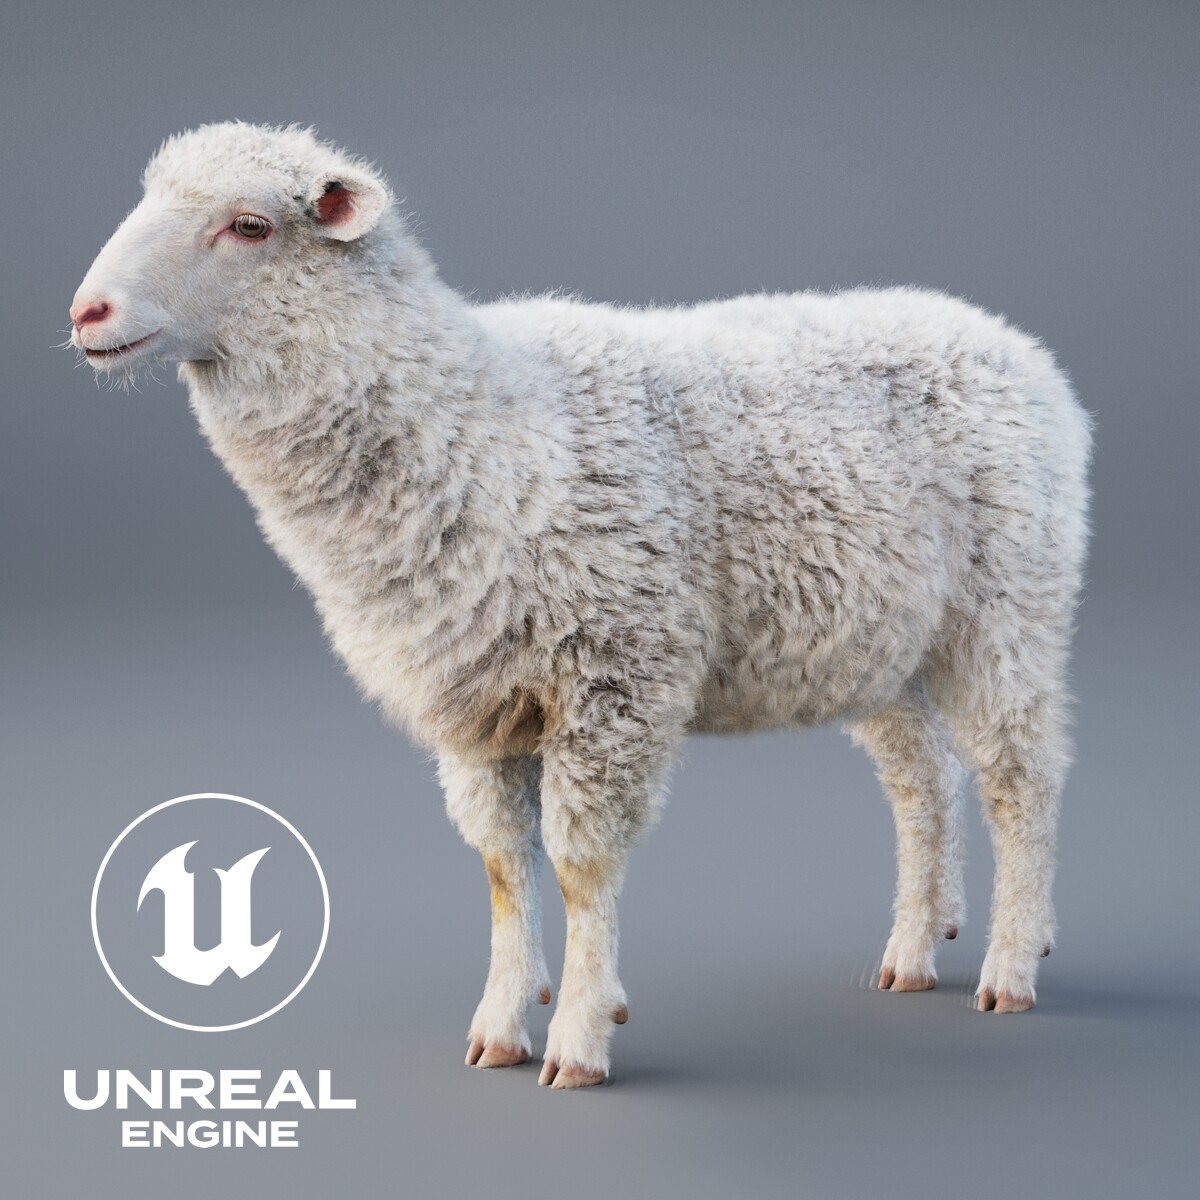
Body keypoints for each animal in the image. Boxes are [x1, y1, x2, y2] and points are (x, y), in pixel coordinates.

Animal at [69, 121, 1092, 1088]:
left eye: (249, 226)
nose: (86, 311)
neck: (478, 427)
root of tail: (1012, 343)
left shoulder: (614, 679)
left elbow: (580, 866)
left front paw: (580, 1038)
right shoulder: (474, 704)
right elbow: (502, 867)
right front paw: (502, 1021)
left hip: (1009, 603)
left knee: (1021, 776)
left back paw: (1011, 963)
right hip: (874, 641)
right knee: (922, 779)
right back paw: (916, 947)